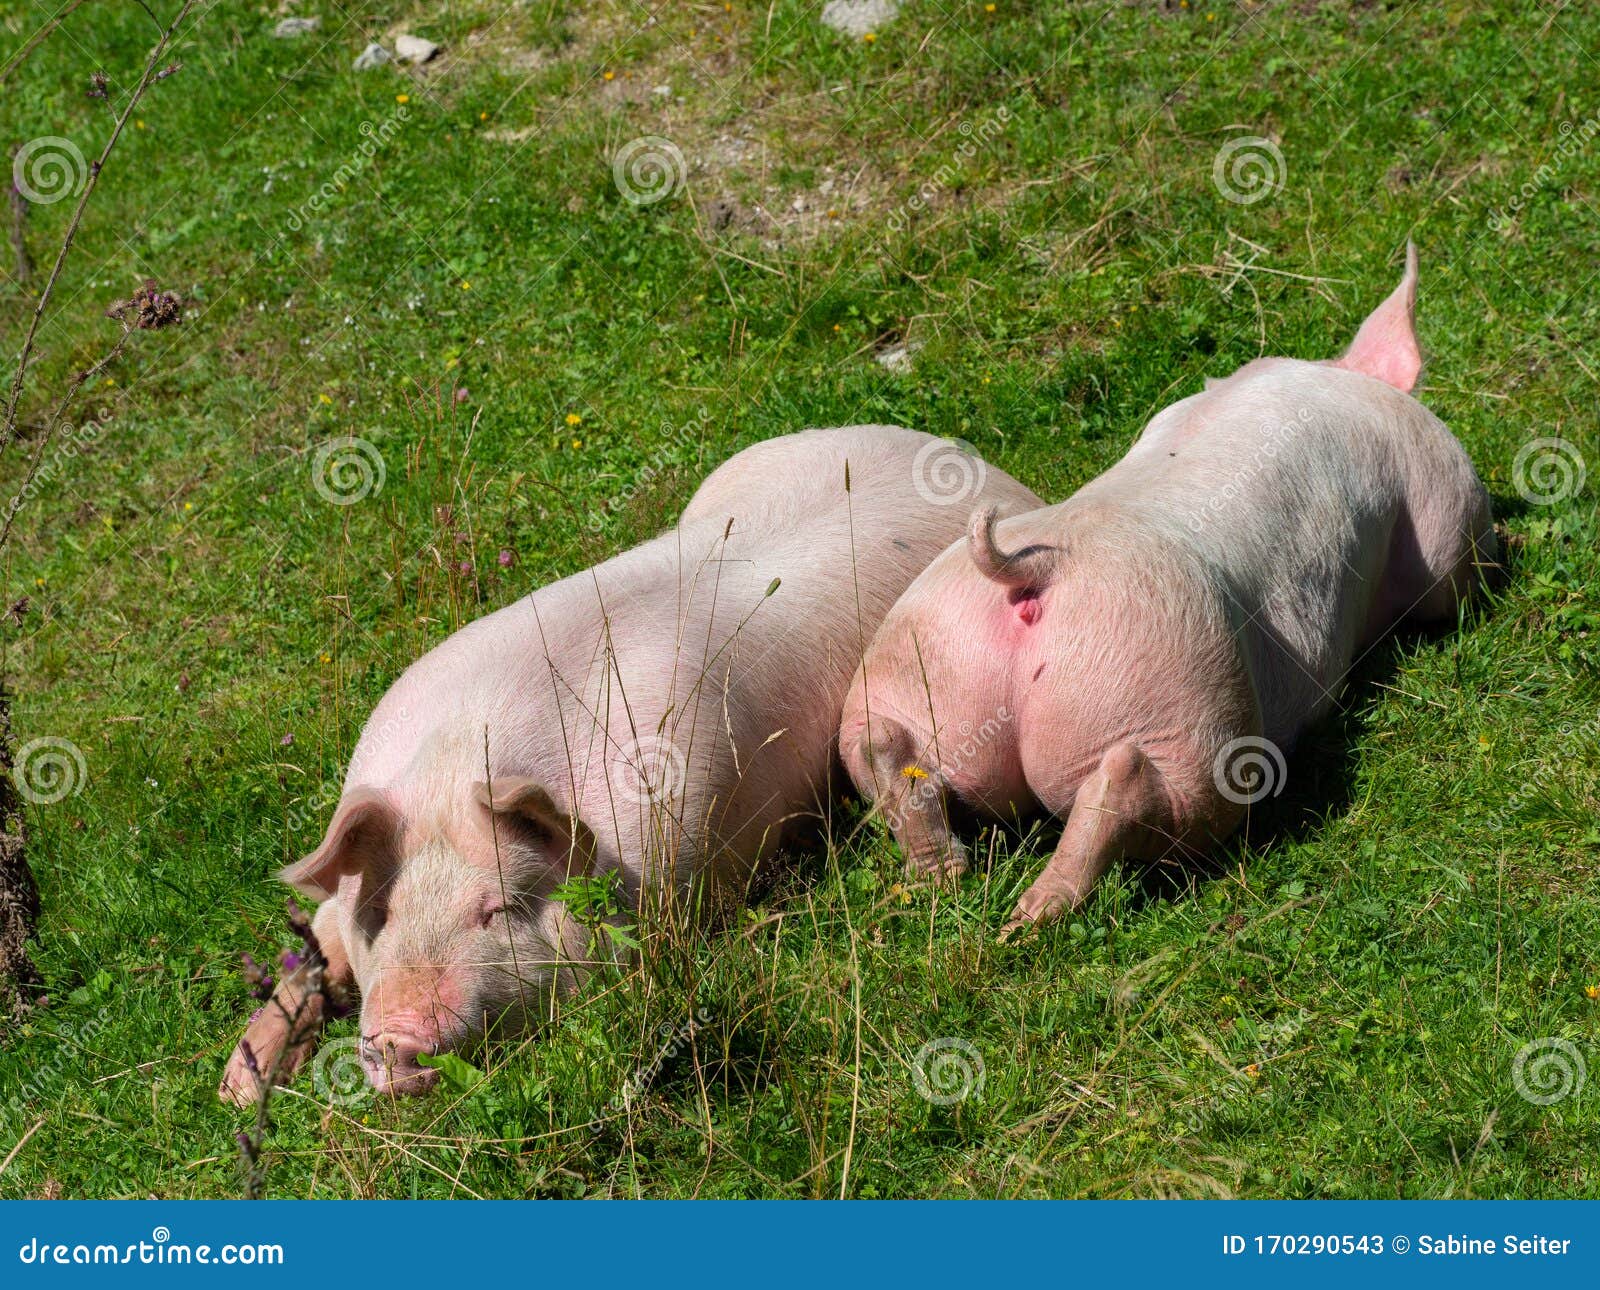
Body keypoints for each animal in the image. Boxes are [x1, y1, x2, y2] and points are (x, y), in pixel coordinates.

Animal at [220, 426, 1042, 1101]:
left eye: (500, 907)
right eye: (381, 915)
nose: (397, 1037)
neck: (458, 762)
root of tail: (967, 458)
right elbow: (320, 942)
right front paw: (238, 1087)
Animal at [839, 245, 1497, 939]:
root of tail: (1032, 571)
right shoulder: (1440, 497)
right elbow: (1450, 586)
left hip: (914, 658)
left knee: (889, 753)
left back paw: (947, 885)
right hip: (1192, 704)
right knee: (1136, 791)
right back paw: (1028, 920)